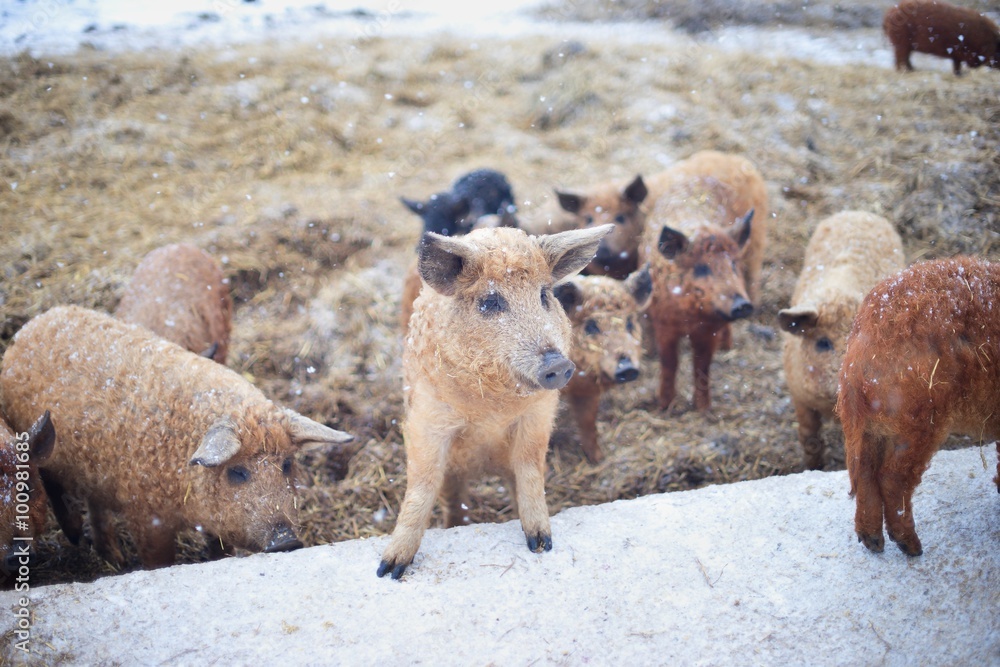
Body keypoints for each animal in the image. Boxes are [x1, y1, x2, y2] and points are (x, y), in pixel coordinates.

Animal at [378, 224, 613, 579]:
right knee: (452, 496)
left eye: (544, 295)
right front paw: (389, 569)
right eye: (490, 302)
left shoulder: (539, 414)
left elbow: (530, 467)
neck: (491, 411)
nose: (558, 364)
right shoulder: (427, 420)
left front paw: (541, 544)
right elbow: (423, 482)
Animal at [553, 266, 653, 464]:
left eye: (629, 323)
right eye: (591, 326)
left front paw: (598, 458)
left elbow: (588, 421)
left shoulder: (587, 391)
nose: (627, 368)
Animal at [639, 151, 768, 412]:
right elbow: (669, 362)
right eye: (701, 268)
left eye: (732, 265)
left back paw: (727, 346)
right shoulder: (664, 323)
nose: (742, 305)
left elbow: (702, 365)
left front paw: (704, 410)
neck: (691, 318)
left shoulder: (709, 329)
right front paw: (665, 406)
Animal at [778, 211, 905, 470]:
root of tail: (859, 212)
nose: (845, 382)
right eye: (822, 343)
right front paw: (814, 467)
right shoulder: (799, 396)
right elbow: (809, 437)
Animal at [837, 256, 1000, 556]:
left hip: (866, 423)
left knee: (864, 472)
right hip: (920, 420)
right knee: (892, 479)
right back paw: (912, 547)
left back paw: (873, 542)